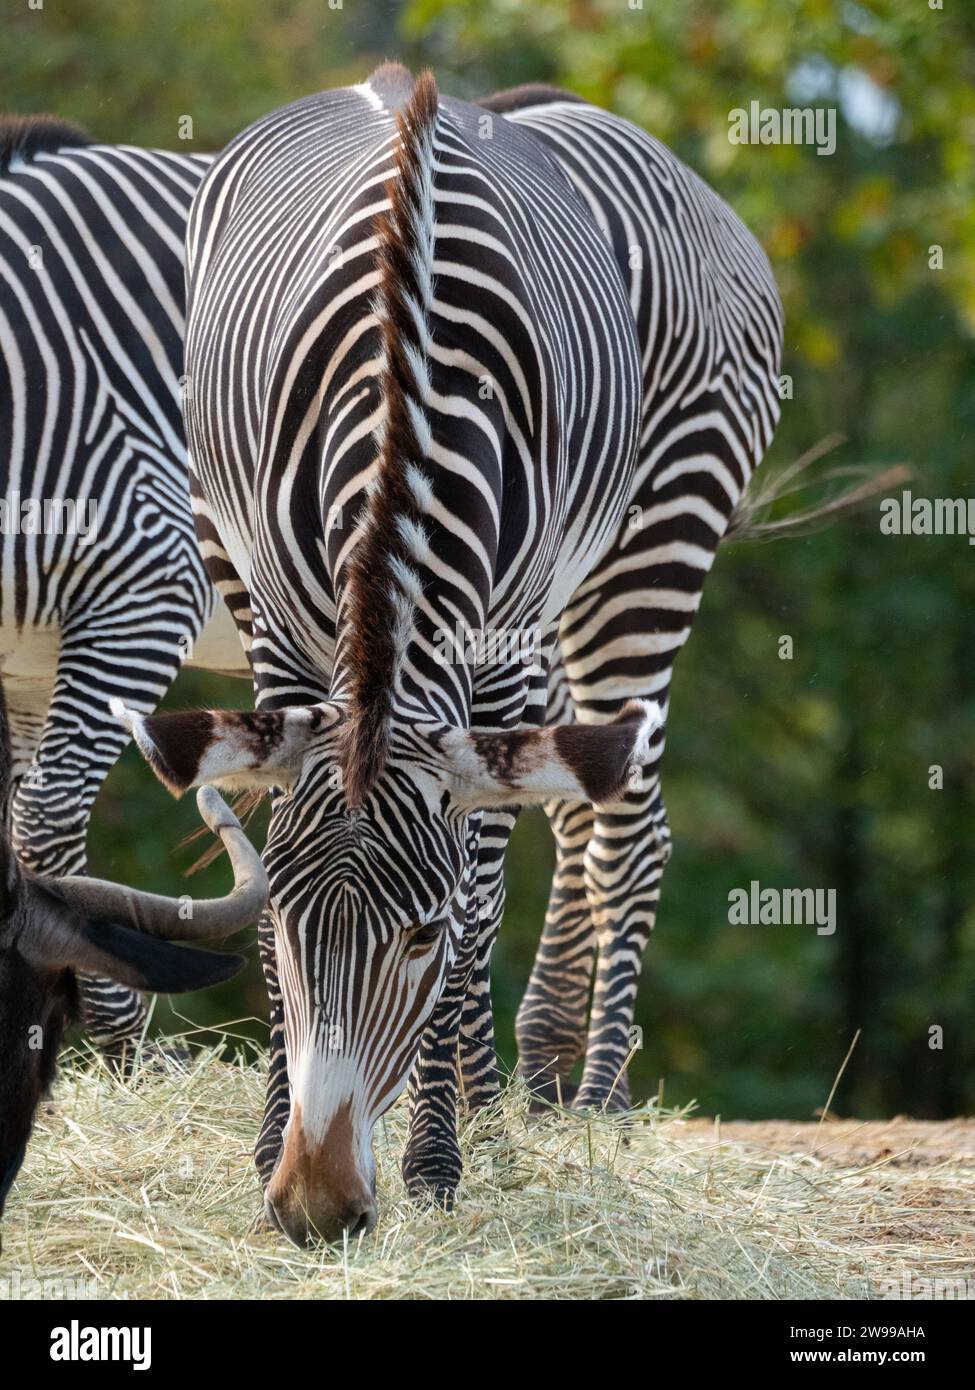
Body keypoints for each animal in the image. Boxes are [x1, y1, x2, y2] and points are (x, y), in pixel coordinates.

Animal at [117, 63, 782, 1246]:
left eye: (417, 935)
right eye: (286, 926)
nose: (316, 1210)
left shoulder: (504, 640)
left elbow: (477, 895)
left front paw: (434, 1160)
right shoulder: (285, 632)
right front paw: (276, 1139)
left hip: (653, 543)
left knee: (626, 827)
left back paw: (590, 1106)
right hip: (221, 524)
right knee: (574, 815)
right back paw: (531, 1088)